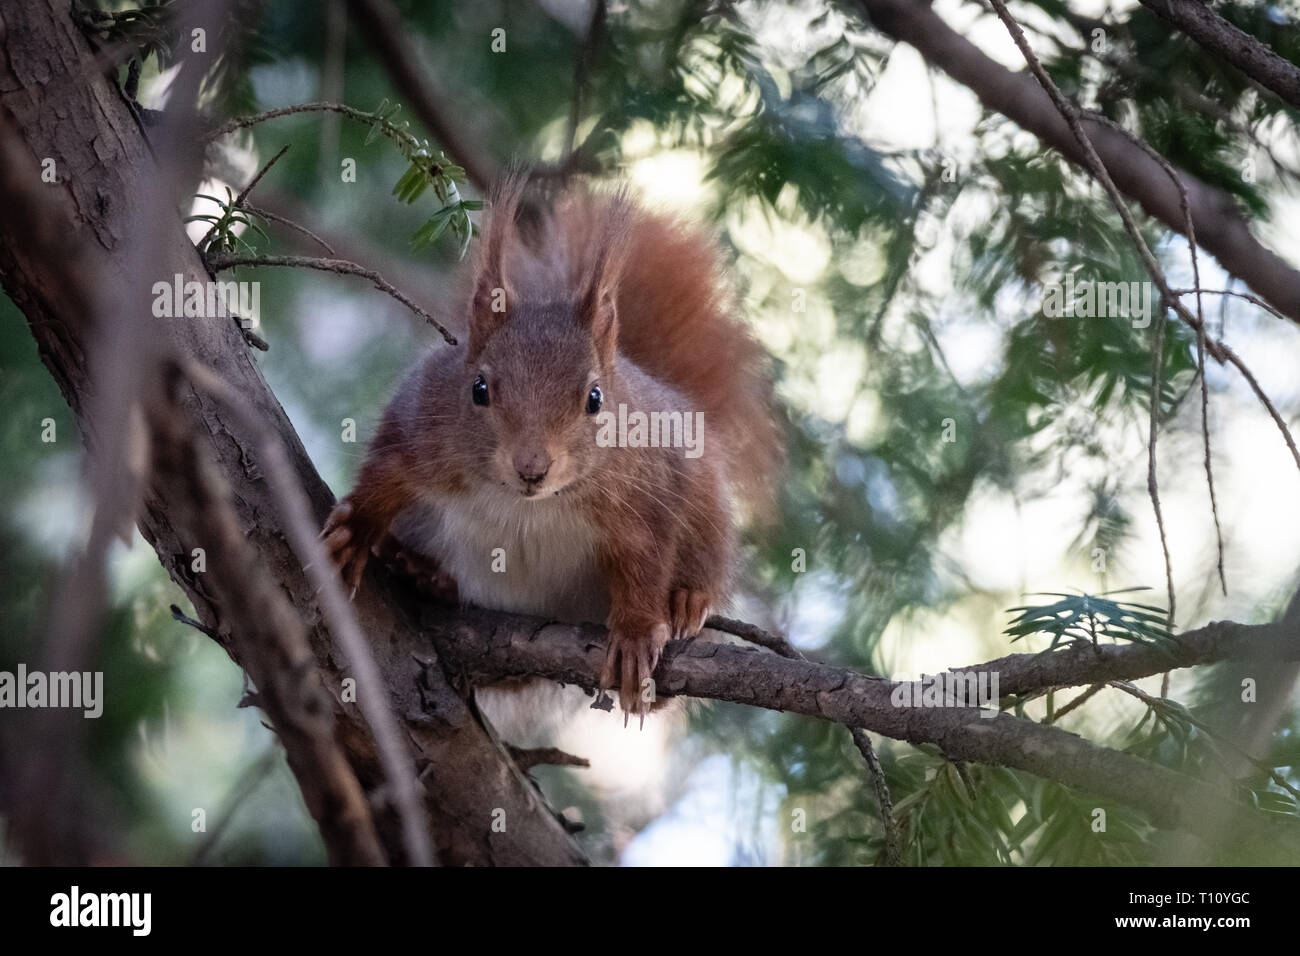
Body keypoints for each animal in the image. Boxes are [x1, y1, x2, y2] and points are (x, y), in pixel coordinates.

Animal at [322, 173, 780, 731]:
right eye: (478, 389)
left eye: (595, 399)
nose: (532, 468)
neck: (527, 504)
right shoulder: (420, 430)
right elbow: (385, 476)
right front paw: (356, 530)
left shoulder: (640, 493)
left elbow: (644, 560)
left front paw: (636, 631)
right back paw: (422, 573)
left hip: (703, 508)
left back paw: (687, 600)